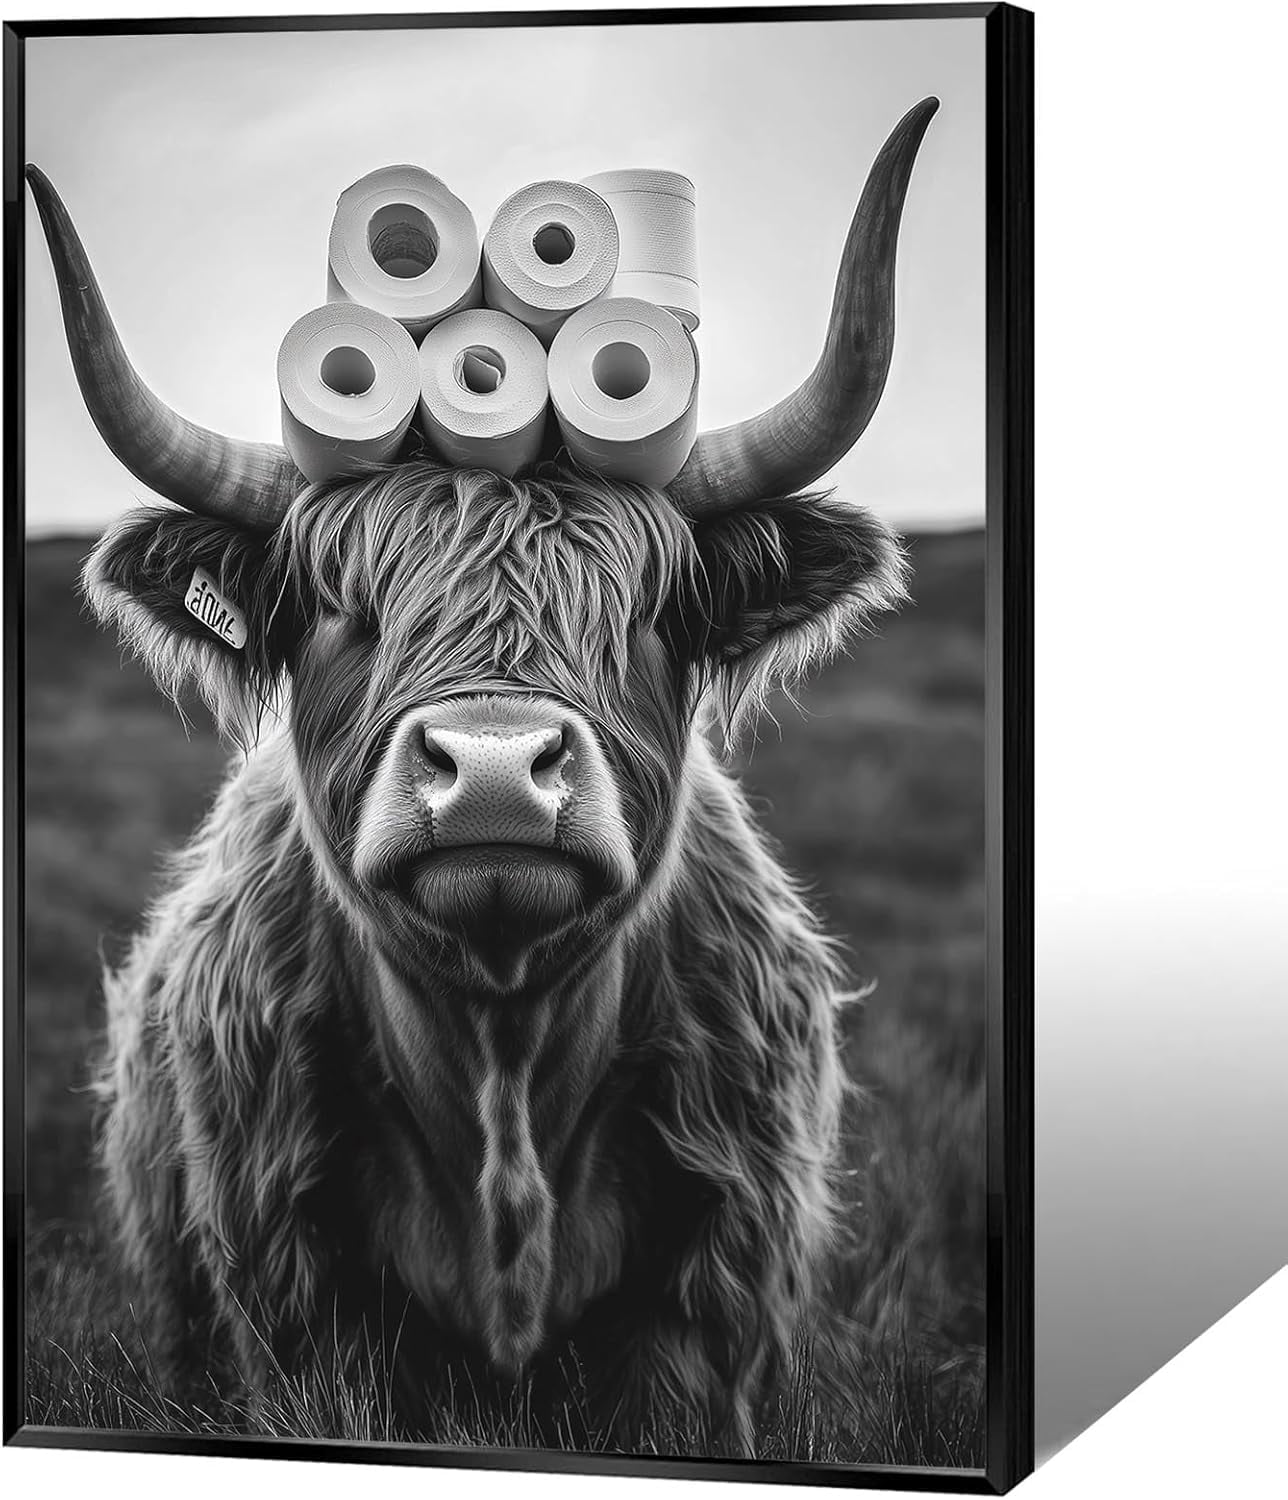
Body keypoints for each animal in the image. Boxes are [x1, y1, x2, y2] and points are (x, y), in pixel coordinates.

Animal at [25, 98, 937, 1451]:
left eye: (646, 612)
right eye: (345, 611)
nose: (499, 771)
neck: (503, 1061)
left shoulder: (704, 1312)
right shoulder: (302, 1317)